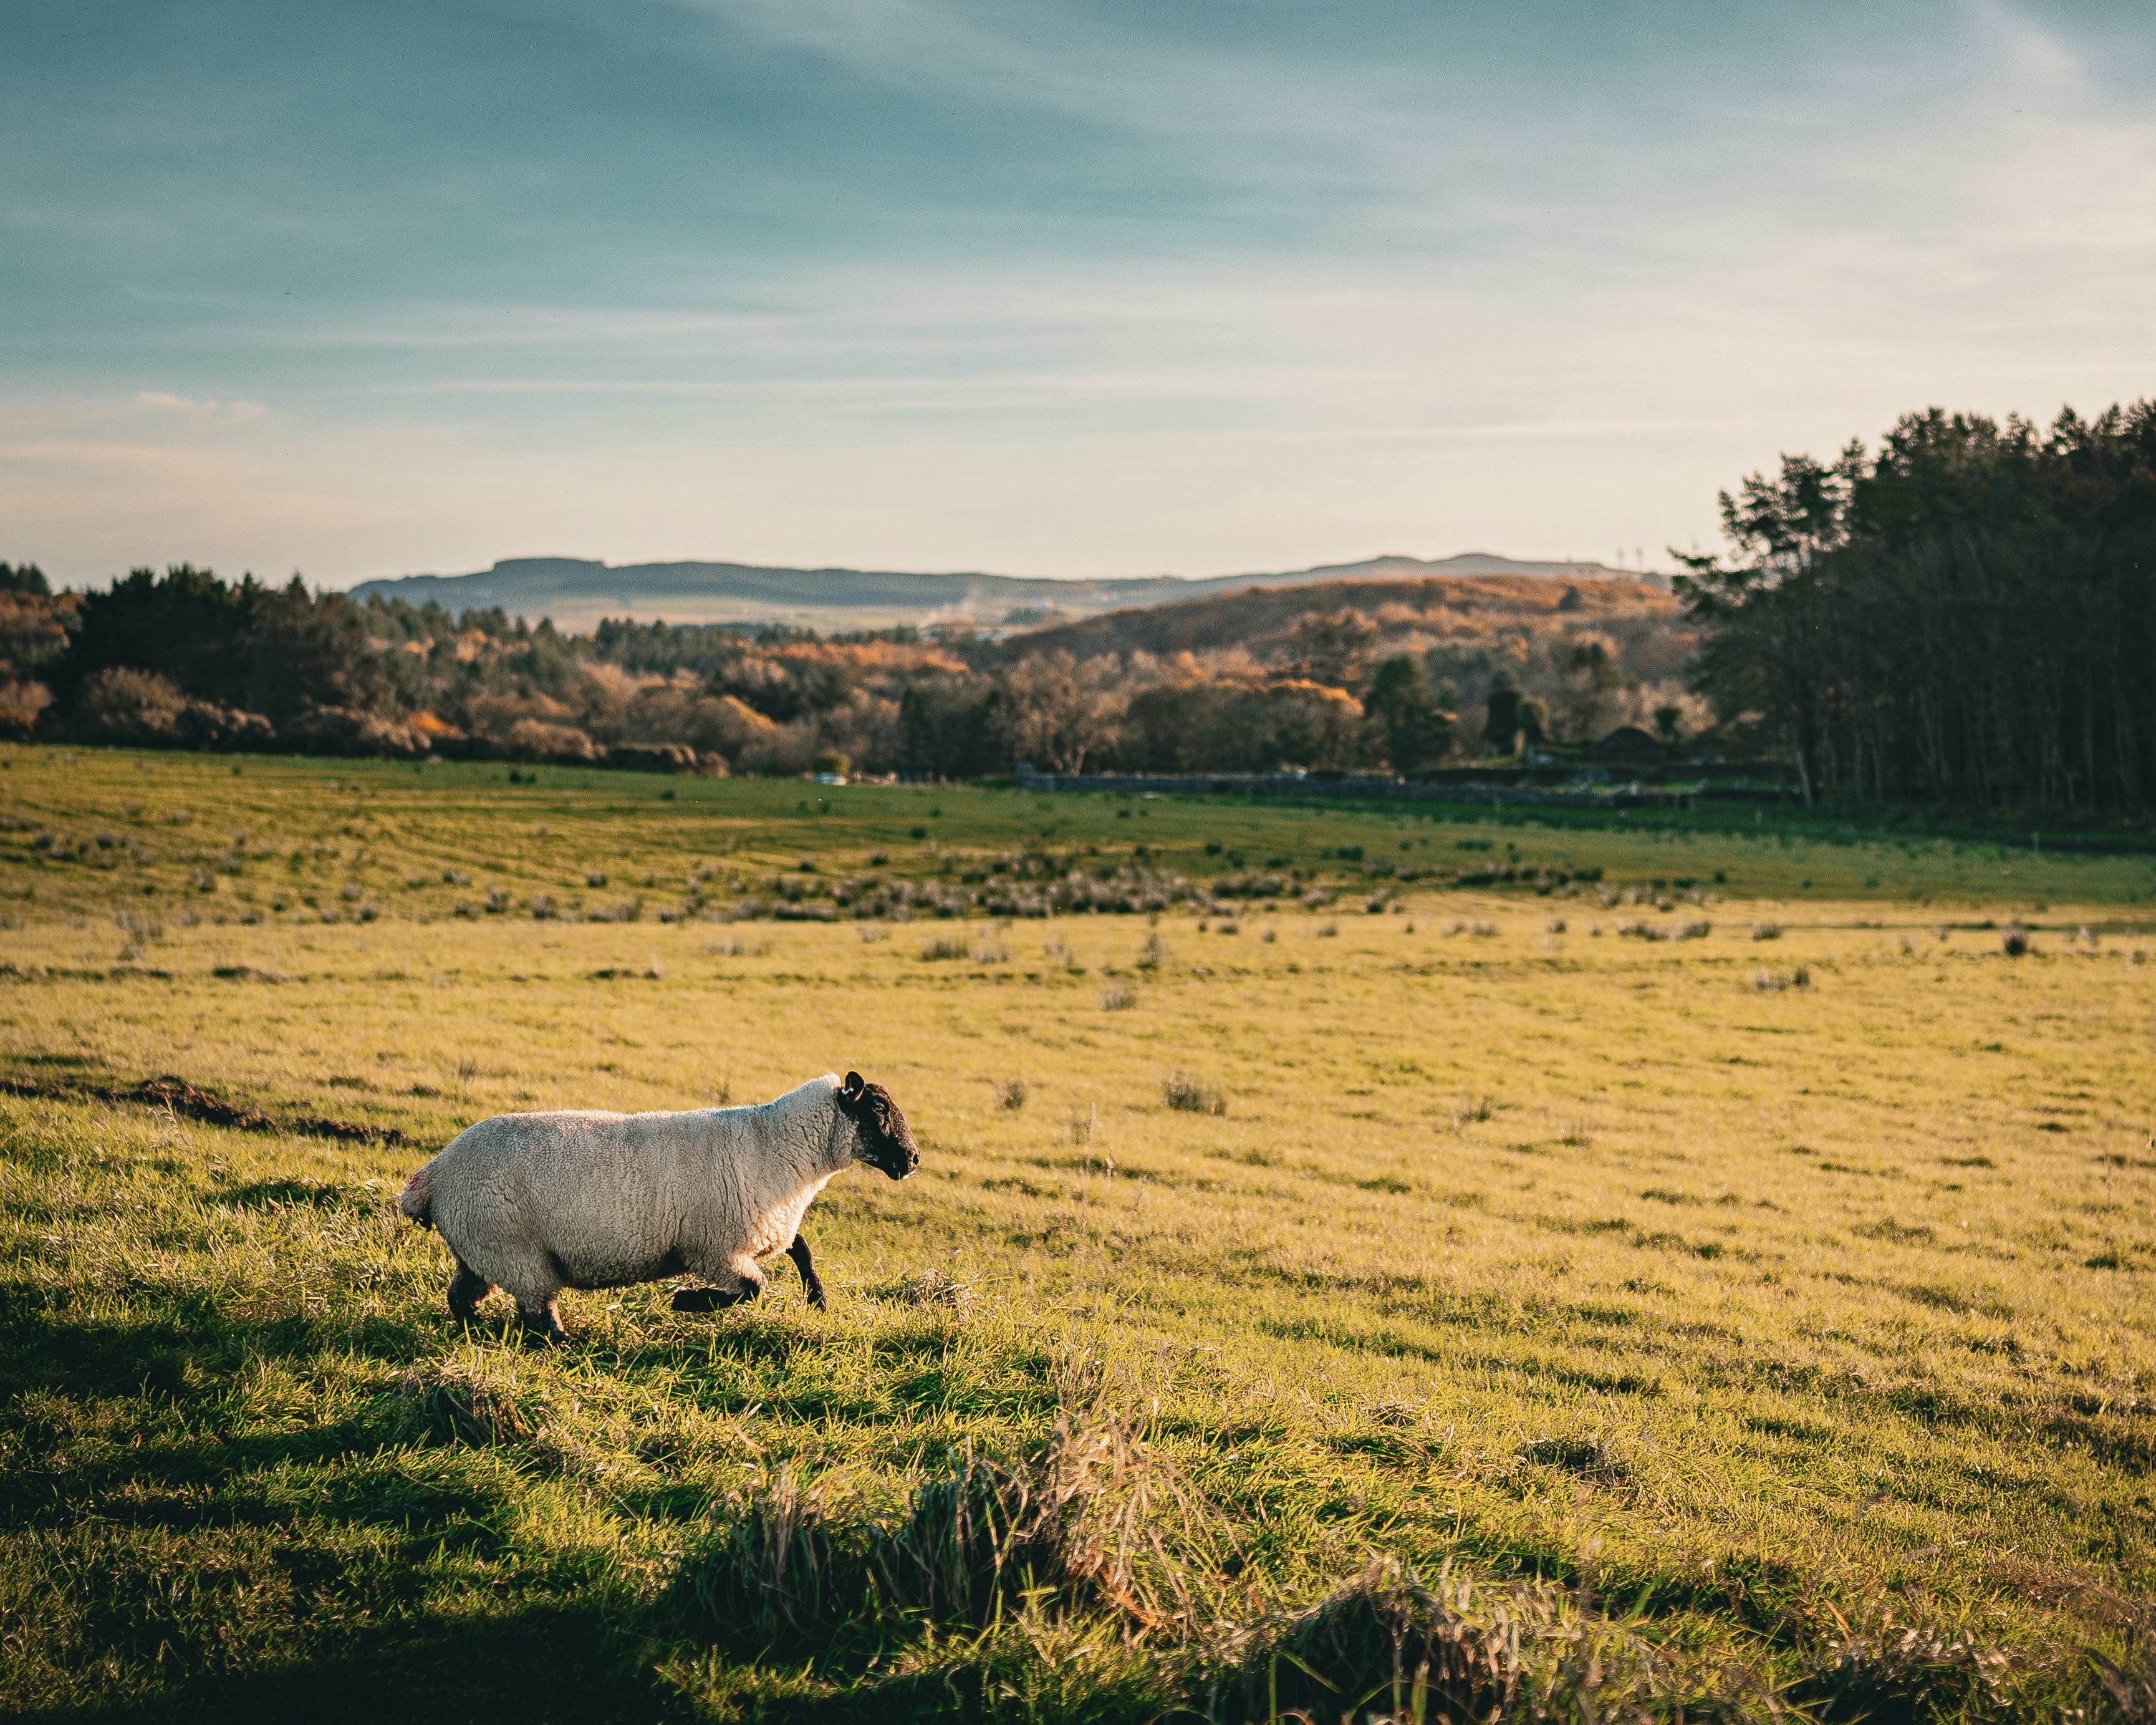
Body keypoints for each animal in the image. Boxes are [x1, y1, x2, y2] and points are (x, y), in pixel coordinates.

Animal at [397, 1070, 918, 1341]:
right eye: (877, 1109)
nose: (914, 1159)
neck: (778, 1145)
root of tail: (434, 1175)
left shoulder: (770, 1227)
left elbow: (803, 1250)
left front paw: (819, 1301)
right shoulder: (714, 1249)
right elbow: (755, 1289)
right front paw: (686, 1301)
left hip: (481, 1252)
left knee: (463, 1298)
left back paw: (476, 1336)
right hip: (516, 1253)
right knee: (538, 1316)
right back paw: (565, 1347)